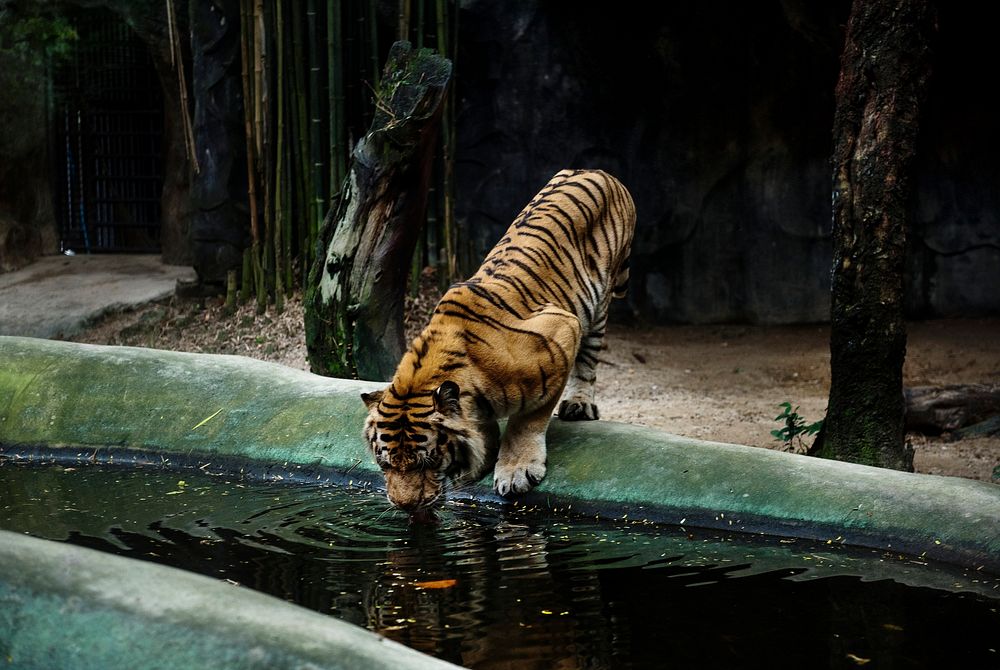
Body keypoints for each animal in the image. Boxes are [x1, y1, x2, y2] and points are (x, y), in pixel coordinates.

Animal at [362, 169, 636, 512]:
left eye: (428, 462)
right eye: (385, 463)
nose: (405, 506)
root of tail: (596, 171)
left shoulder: (562, 329)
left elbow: (528, 418)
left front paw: (516, 469)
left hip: (599, 304)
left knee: (588, 359)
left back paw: (579, 404)